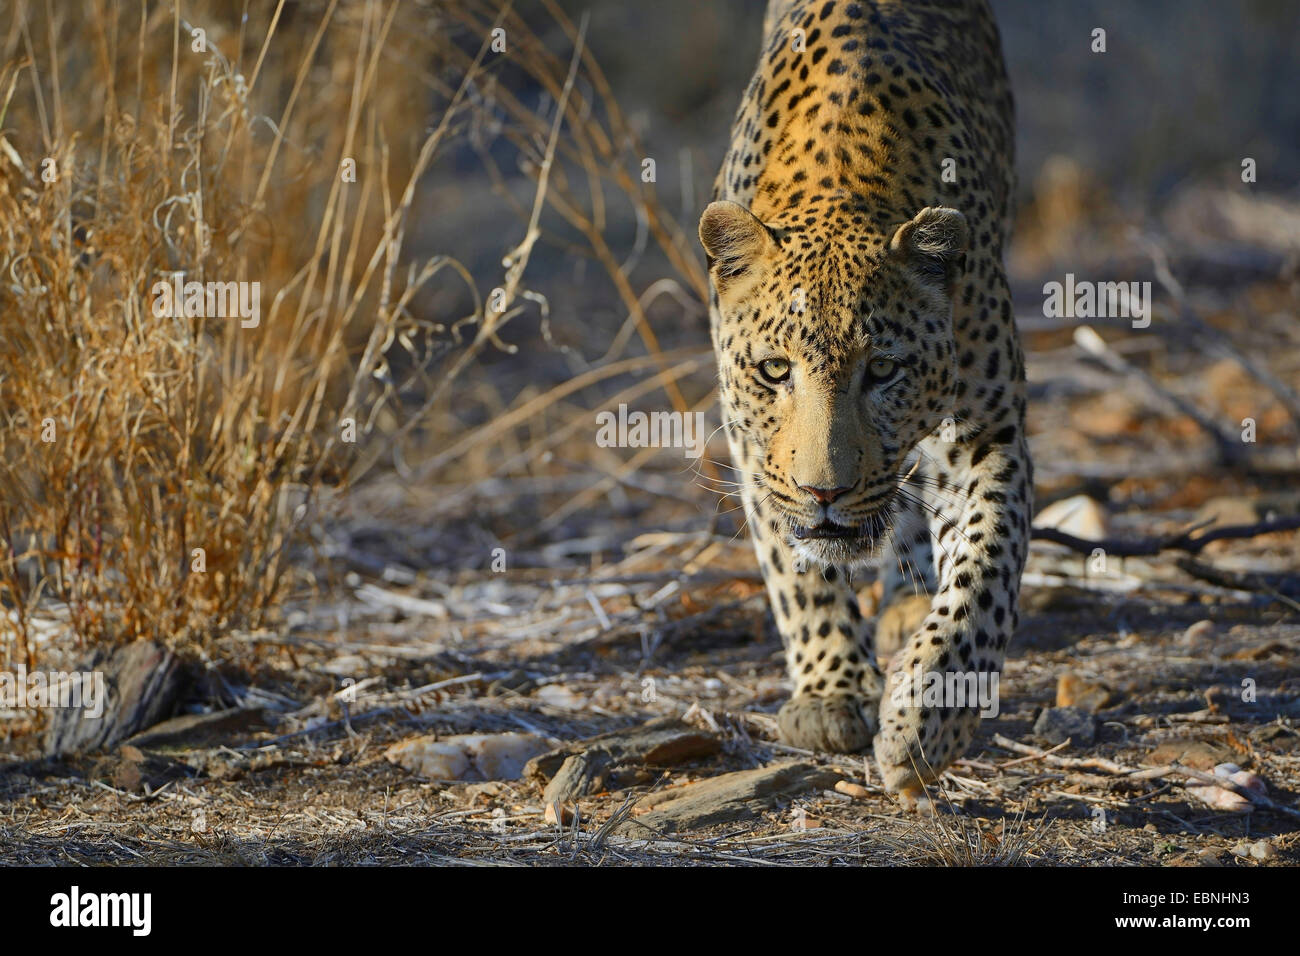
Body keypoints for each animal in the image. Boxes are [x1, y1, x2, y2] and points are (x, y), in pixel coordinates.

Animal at [698, 0, 1031, 799]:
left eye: (882, 370)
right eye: (775, 371)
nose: (827, 492)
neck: (842, 176)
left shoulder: (988, 431)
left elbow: (986, 568)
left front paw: (928, 721)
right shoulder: (755, 446)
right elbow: (795, 568)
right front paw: (831, 692)